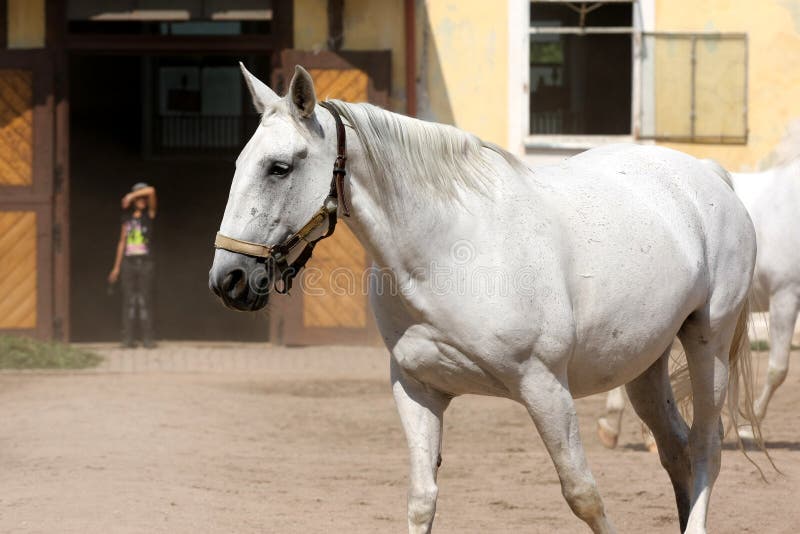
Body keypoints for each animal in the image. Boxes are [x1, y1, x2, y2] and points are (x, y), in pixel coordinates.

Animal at [209, 64, 758, 534]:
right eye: (239, 163)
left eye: (279, 168)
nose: (228, 279)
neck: (448, 250)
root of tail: (711, 175)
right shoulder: (417, 388)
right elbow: (421, 499)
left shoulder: (544, 386)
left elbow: (584, 494)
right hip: (645, 364)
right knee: (676, 448)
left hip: (708, 344)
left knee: (706, 447)